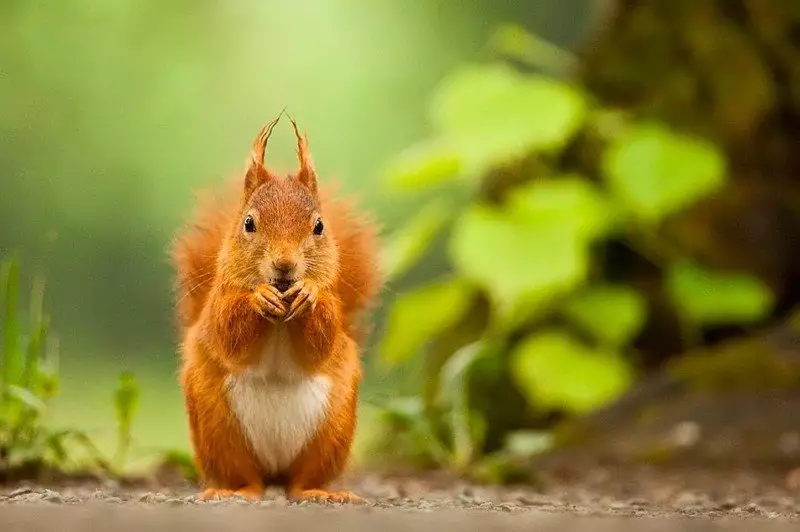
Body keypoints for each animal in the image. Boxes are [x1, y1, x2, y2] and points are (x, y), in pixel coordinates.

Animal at [171, 116, 382, 502]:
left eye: (319, 226)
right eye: (248, 224)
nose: (284, 266)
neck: (282, 315)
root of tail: (274, 471)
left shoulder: (333, 306)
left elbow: (323, 341)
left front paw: (309, 294)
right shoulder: (219, 301)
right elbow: (228, 333)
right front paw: (259, 299)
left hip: (331, 433)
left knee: (300, 482)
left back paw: (320, 493)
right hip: (219, 432)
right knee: (247, 479)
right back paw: (234, 492)